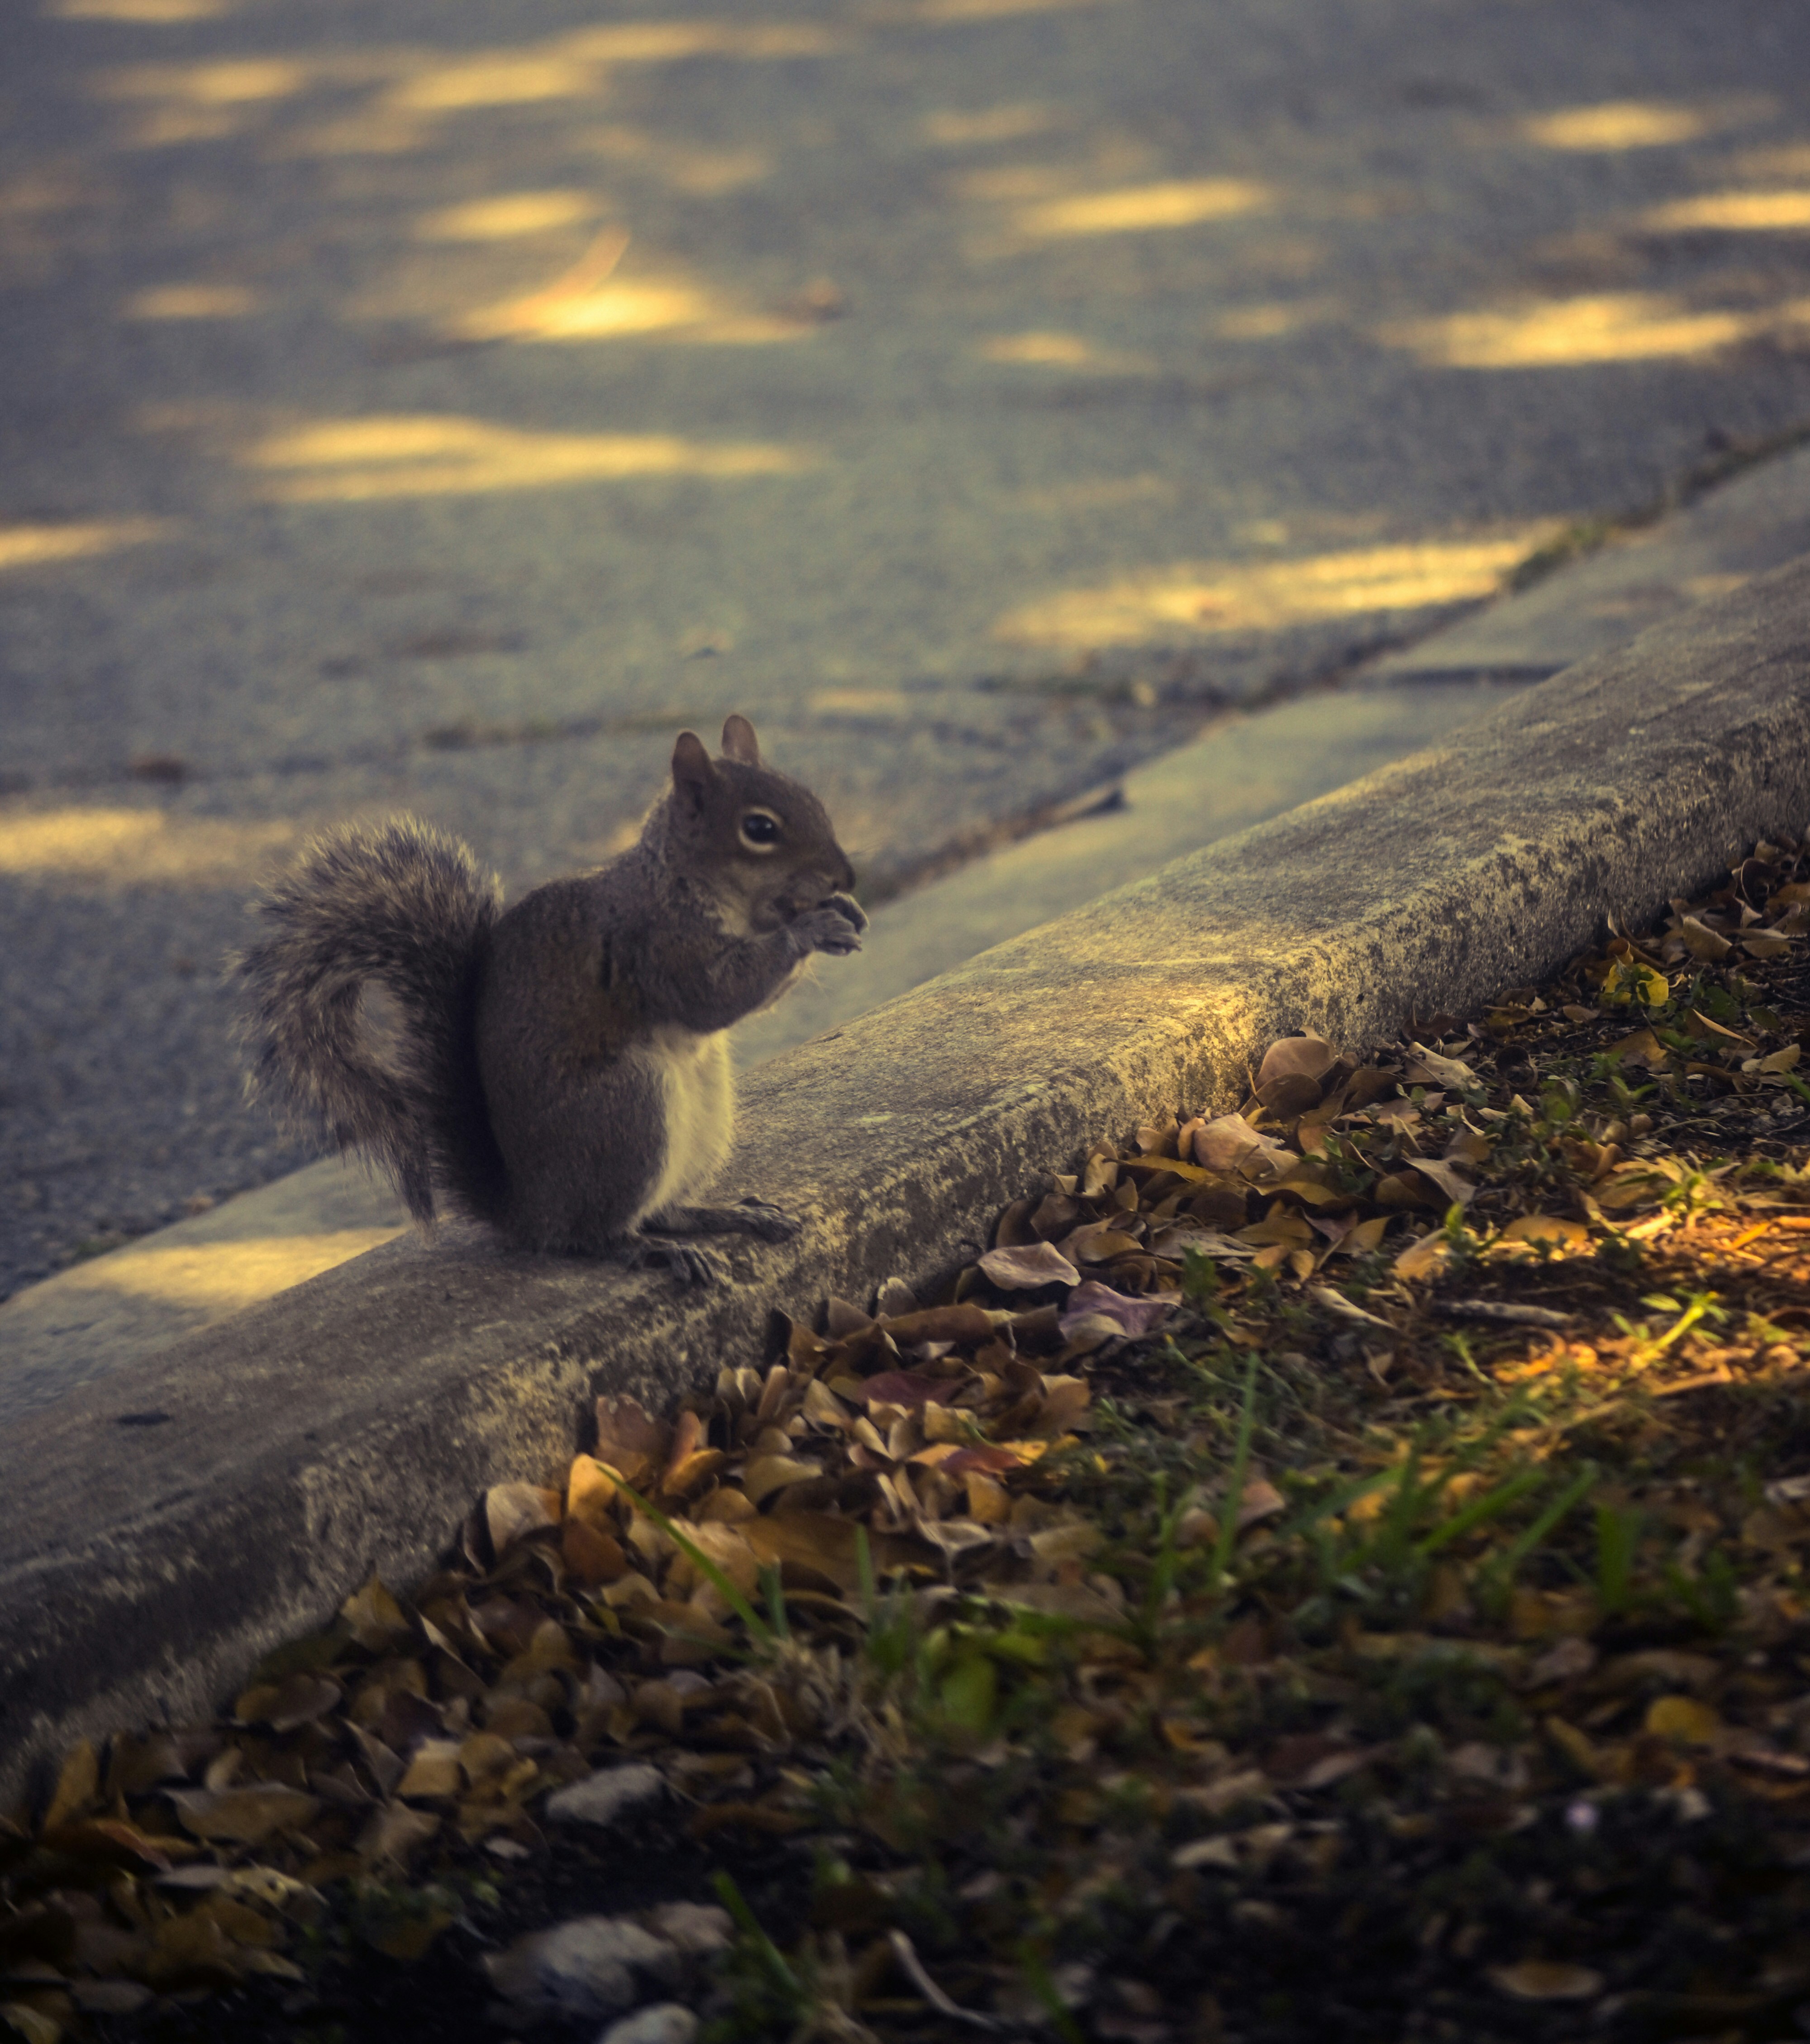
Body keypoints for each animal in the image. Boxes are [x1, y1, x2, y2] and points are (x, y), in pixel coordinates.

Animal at [232, 714, 867, 1283]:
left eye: (813, 800)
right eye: (759, 829)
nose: (847, 877)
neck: (688, 883)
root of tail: (530, 1211)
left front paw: (843, 913)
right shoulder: (655, 946)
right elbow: (714, 997)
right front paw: (811, 929)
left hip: (707, 1115)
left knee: (663, 1211)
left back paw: (723, 1214)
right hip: (625, 1112)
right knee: (587, 1236)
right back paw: (646, 1250)